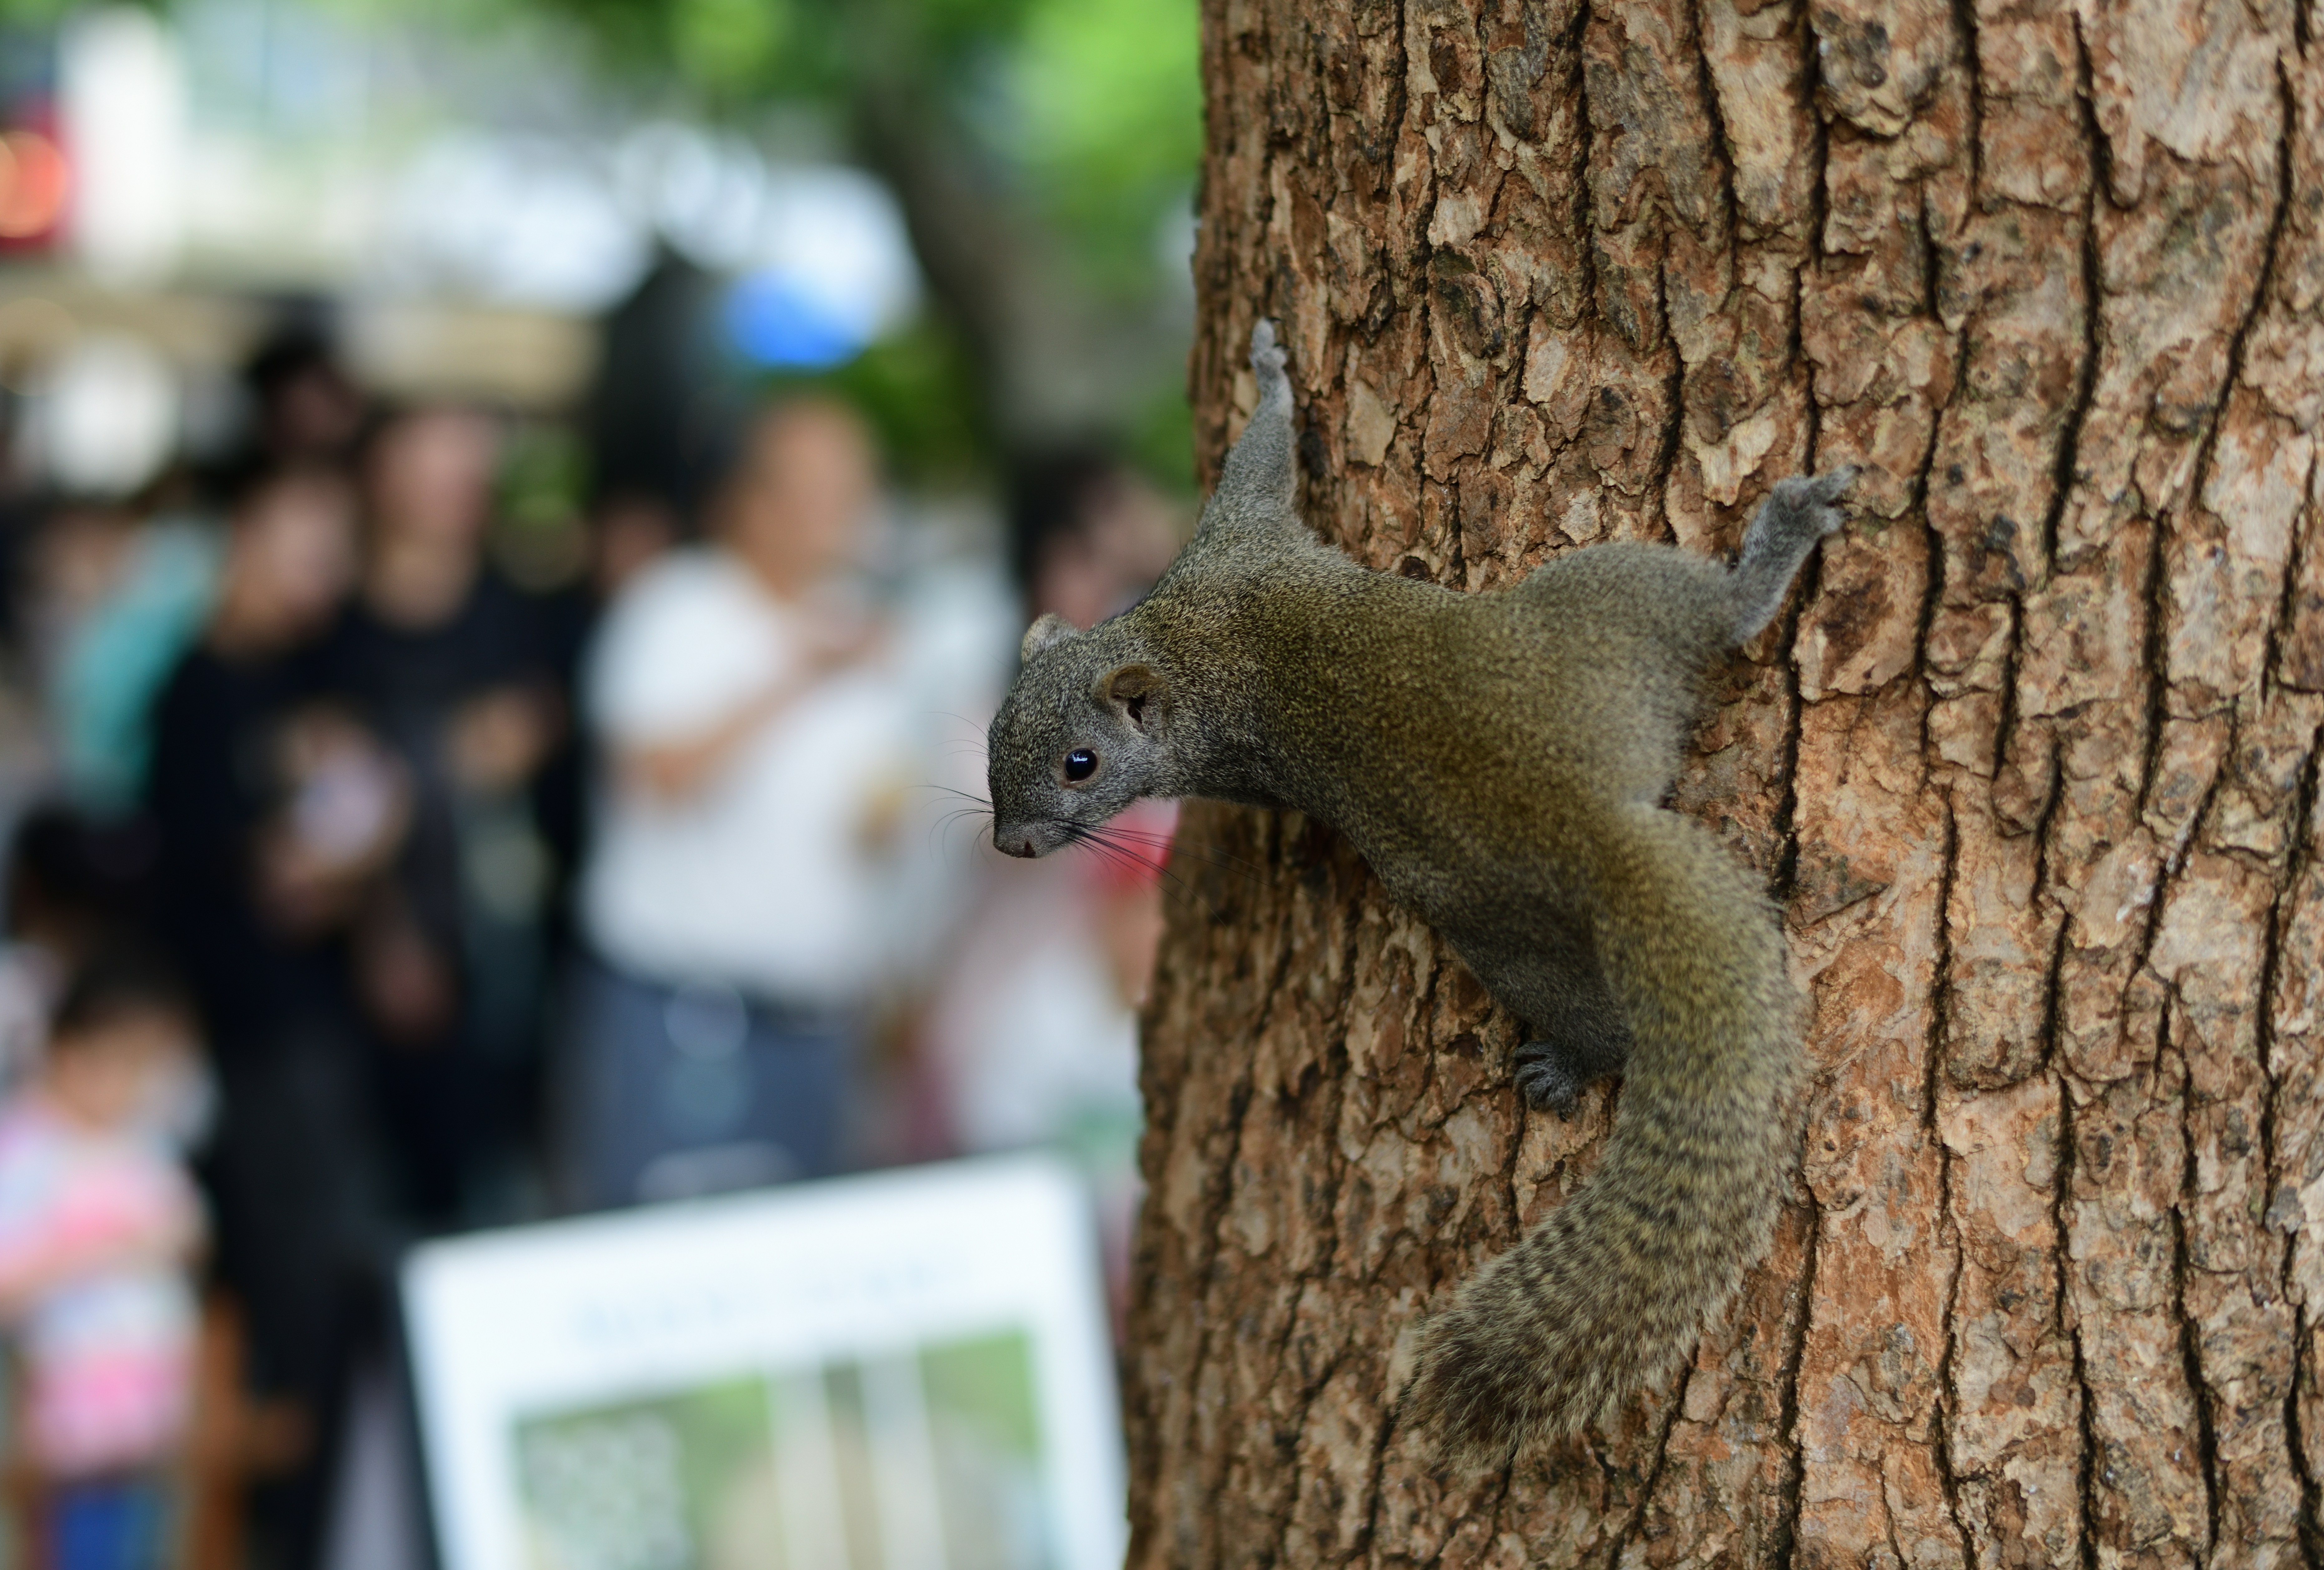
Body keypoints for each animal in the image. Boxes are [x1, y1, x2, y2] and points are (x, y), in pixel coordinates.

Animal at [985, 319, 1854, 1468]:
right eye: (992, 737)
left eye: (1078, 764)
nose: (1014, 844)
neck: (1172, 638)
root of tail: (1588, 818)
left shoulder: (1236, 539)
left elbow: (1261, 455)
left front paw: (1269, 368)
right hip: (1536, 806)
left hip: (1599, 627)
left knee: (1723, 613)